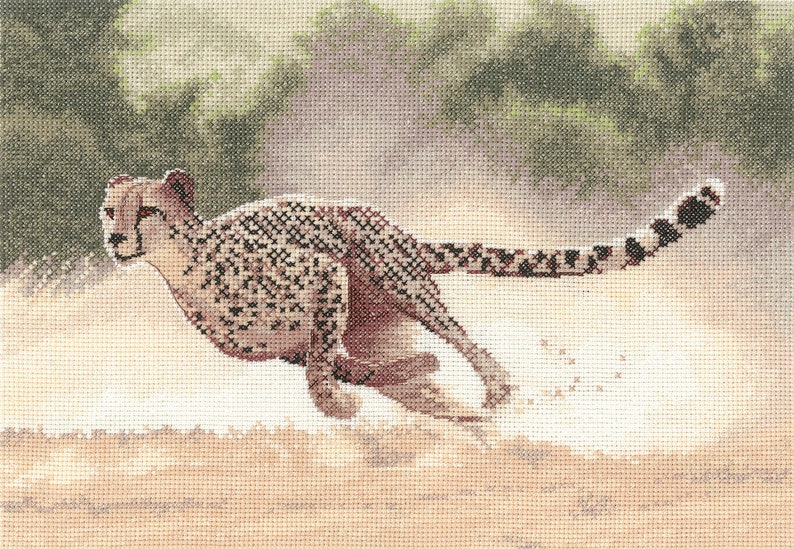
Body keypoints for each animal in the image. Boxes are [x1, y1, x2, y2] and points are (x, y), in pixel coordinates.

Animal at [101, 169, 722, 420]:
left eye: (148, 210)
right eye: (111, 209)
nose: (114, 237)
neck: (187, 268)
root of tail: (397, 229)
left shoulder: (325, 274)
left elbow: (322, 371)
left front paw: (337, 405)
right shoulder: (292, 347)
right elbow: (337, 365)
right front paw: (392, 381)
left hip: (403, 282)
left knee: (462, 336)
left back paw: (496, 388)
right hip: (382, 314)